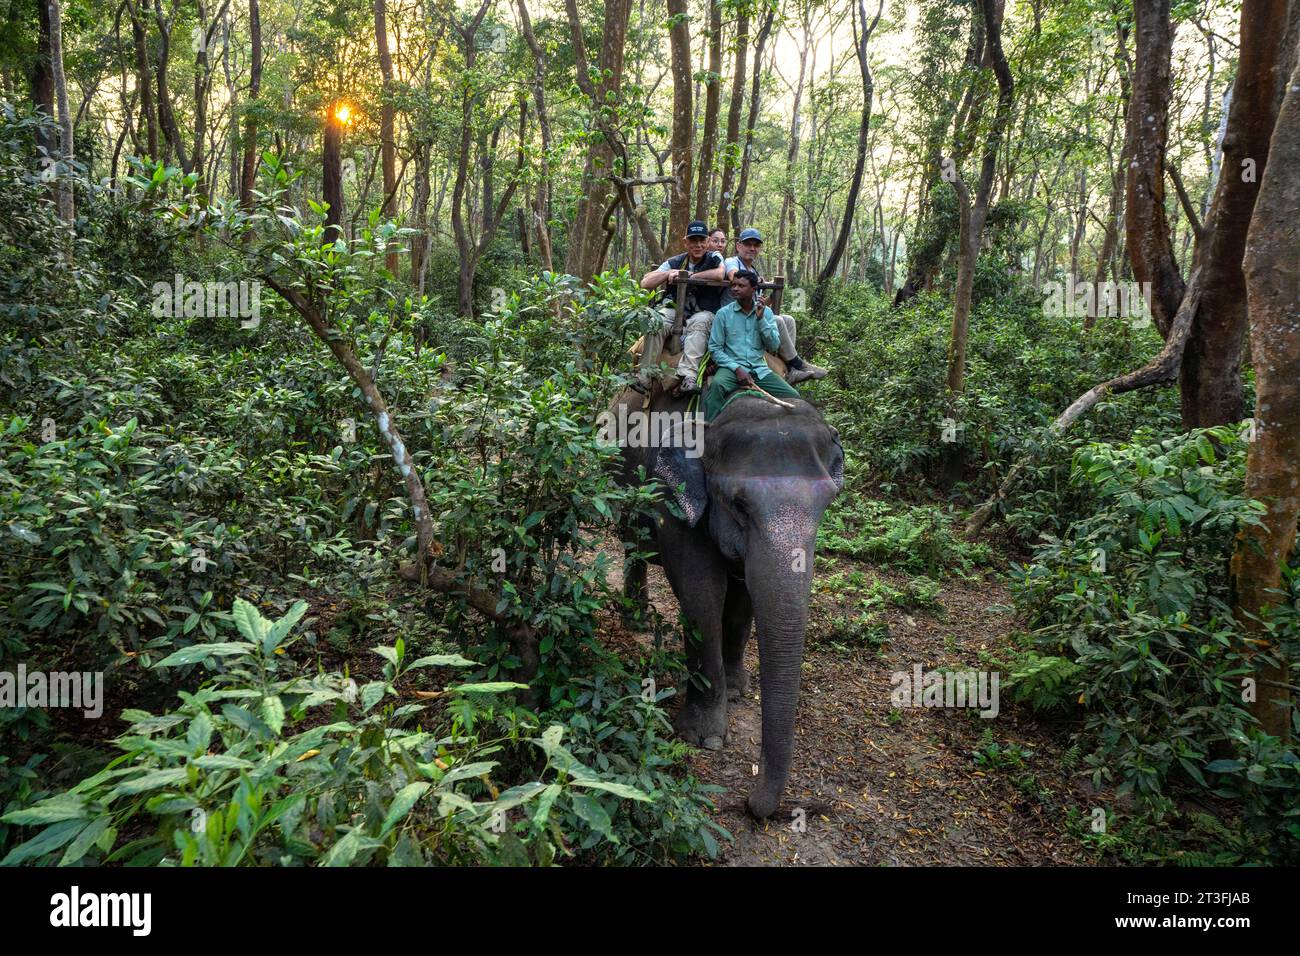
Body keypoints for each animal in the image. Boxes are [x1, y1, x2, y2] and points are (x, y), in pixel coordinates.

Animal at [612, 383, 844, 818]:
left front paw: (737, 690)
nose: (751, 803)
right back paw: (635, 620)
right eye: (739, 504)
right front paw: (704, 738)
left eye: (827, 503)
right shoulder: (671, 493)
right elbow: (702, 590)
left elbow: (744, 595)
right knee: (633, 543)